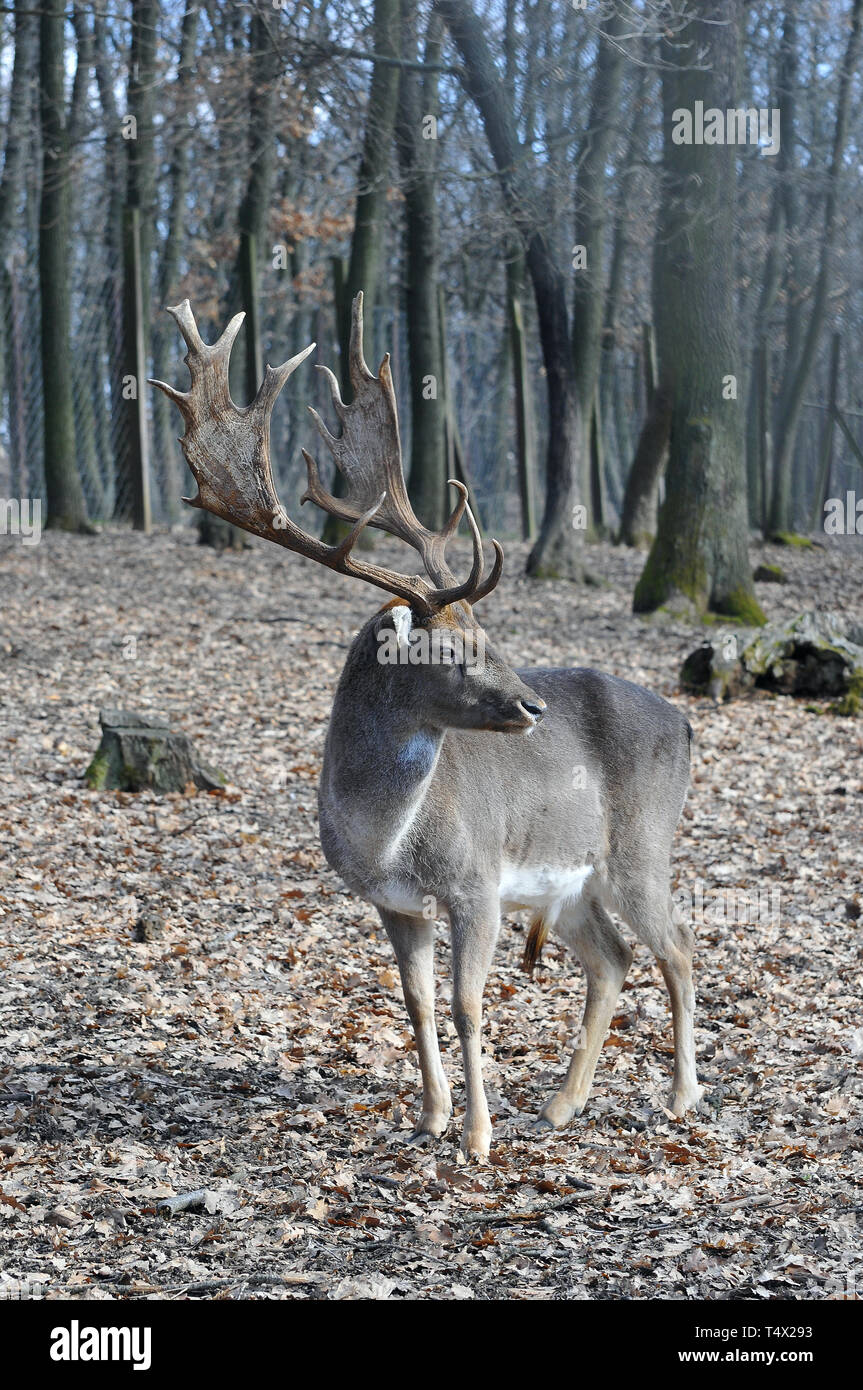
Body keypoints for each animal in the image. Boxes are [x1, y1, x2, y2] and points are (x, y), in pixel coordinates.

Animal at [153, 293, 702, 1160]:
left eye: (490, 634)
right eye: (452, 646)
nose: (532, 706)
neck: (386, 834)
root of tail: (684, 724)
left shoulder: (474, 881)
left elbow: (467, 1006)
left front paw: (475, 1137)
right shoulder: (394, 901)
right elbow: (413, 1002)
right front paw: (430, 1116)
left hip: (640, 846)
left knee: (677, 948)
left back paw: (680, 1096)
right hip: (569, 880)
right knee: (614, 958)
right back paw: (560, 1105)